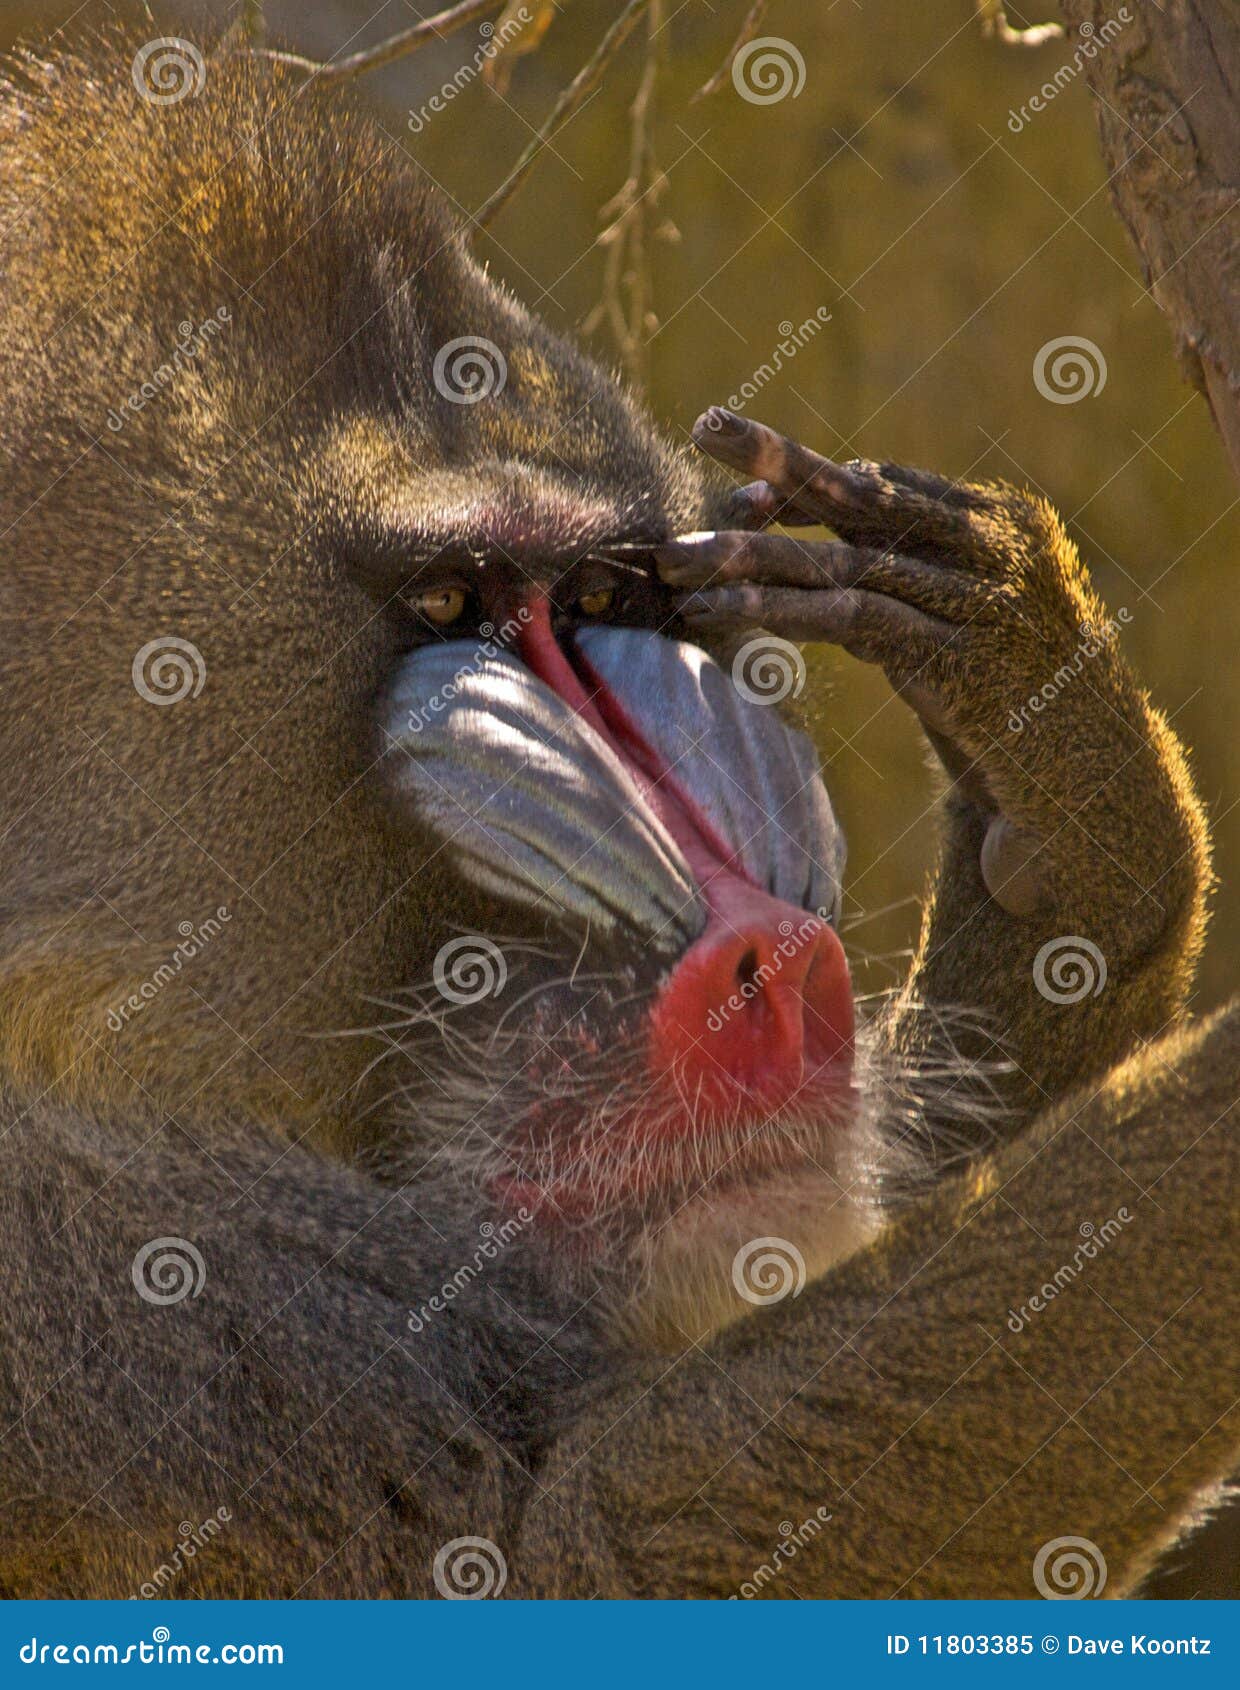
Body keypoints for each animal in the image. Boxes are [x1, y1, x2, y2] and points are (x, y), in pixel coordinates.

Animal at [0, 26, 1235, 1600]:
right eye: (448, 605)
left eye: (594, 596)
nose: (781, 963)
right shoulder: (114, 1313)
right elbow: (550, 1558)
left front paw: (1058, 790)